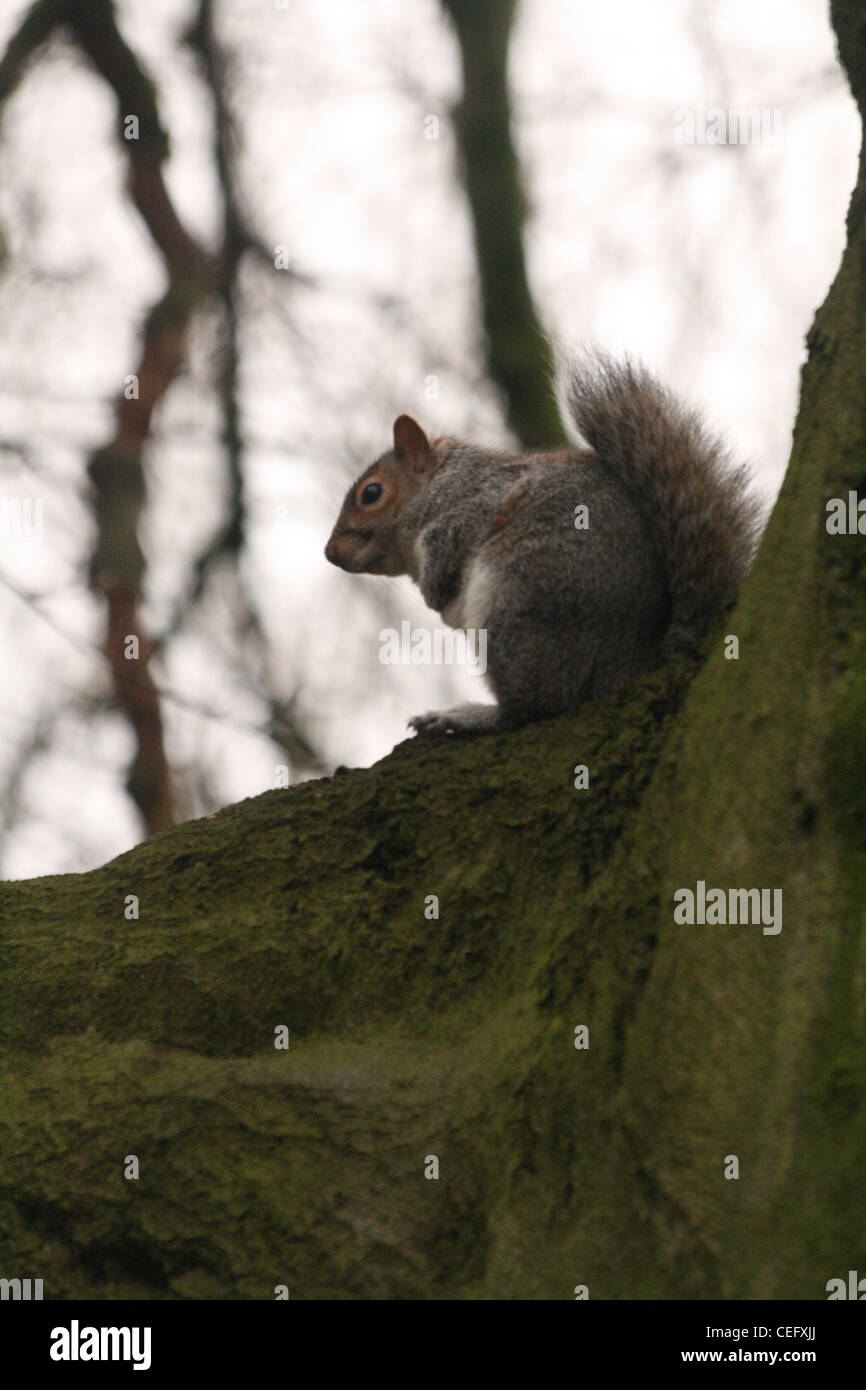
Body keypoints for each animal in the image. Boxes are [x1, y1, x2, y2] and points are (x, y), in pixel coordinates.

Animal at [325, 353, 762, 735]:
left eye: (372, 493)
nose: (330, 553)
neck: (439, 483)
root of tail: (633, 662)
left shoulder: (475, 503)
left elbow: (448, 547)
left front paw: (435, 593)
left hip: (520, 604)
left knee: (535, 706)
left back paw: (471, 716)